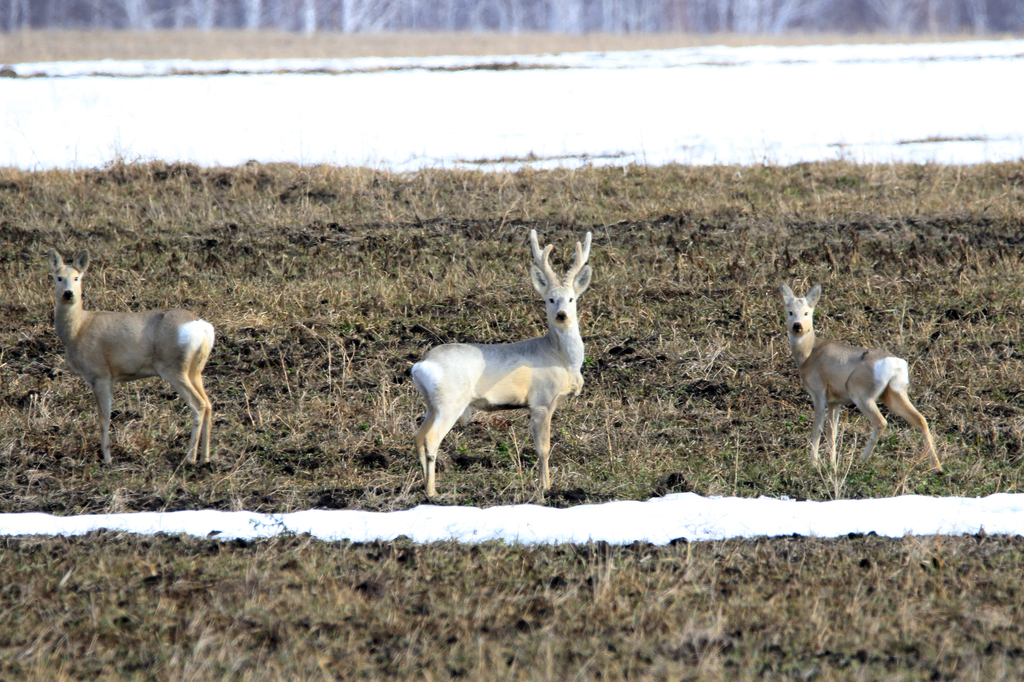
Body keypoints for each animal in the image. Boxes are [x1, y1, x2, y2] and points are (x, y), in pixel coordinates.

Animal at [47, 250, 215, 466]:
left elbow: (104, 418)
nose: (68, 293)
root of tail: (202, 328)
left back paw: (189, 459)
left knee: (198, 405)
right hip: (195, 371)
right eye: (58, 277)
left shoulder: (100, 375)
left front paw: (107, 459)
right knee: (208, 404)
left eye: (77, 277)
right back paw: (205, 458)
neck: (78, 329)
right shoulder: (107, 379)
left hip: (174, 369)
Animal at [410, 230, 594, 497]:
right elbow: (543, 449)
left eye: (571, 299)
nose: (562, 315)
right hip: (450, 401)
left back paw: (425, 485)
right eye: (550, 299)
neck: (562, 359)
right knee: (430, 438)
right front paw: (546, 488)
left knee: (417, 436)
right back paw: (433, 492)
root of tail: (421, 365)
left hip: (431, 404)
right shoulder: (541, 401)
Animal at [779, 283, 941, 472]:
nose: (797, 326)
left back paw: (861, 461)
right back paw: (937, 468)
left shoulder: (818, 392)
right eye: (790, 311)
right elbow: (832, 432)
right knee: (920, 420)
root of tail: (895, 363)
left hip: (861, 393)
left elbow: (817, 427)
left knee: (881, 422)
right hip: (895, 393)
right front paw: (832, 464)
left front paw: (814, 463)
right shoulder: (835, 401)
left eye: (806, 312)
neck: (809, 354)